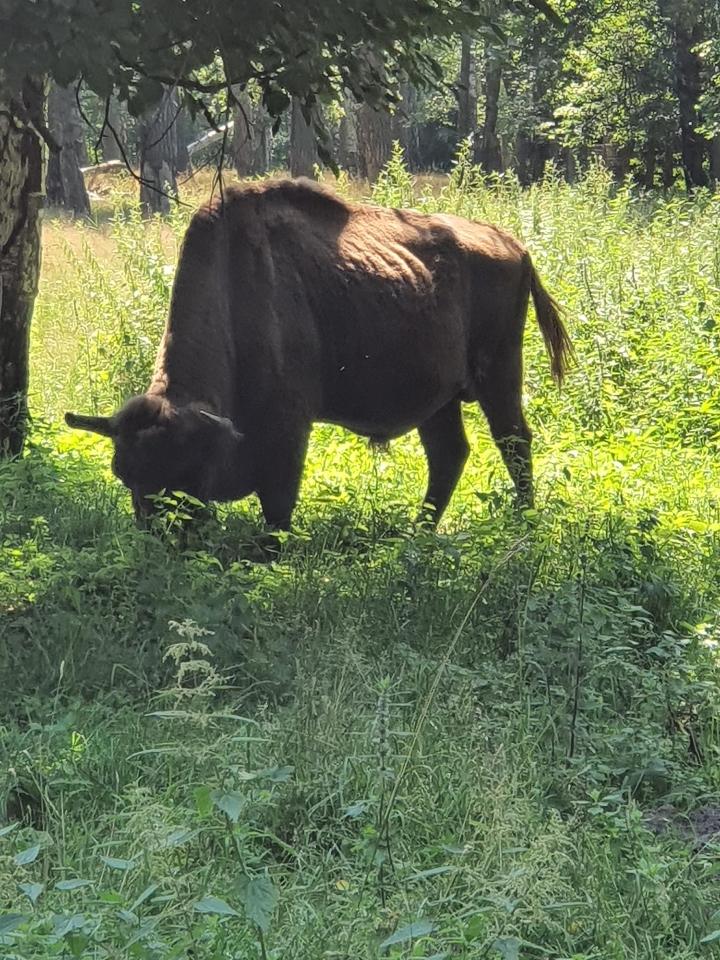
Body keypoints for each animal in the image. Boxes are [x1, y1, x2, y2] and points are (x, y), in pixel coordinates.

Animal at [69, 176, 572, 528]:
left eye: (188, 472)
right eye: (124, 475)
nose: (163, 538)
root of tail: (514, 245)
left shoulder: (289, 431)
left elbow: (278, 510)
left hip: (499, 372)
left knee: (513, 441)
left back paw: (522, 521)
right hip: (439, 399)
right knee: (449, 455)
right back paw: (417, 534)